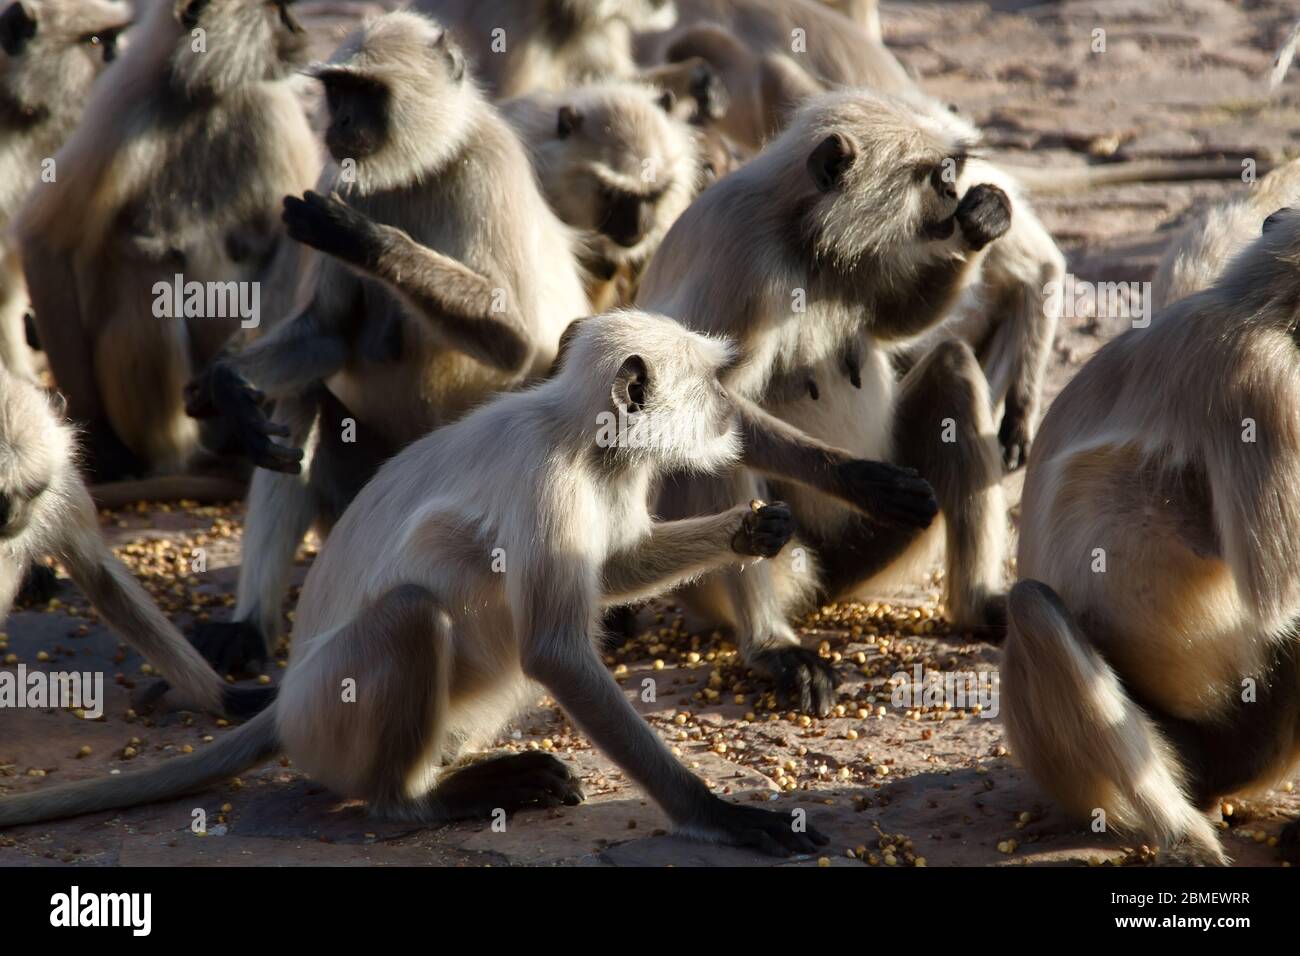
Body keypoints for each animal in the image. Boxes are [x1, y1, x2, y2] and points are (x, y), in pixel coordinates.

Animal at [0, 363, 266, 717]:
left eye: (33, 491)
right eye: (0, 499)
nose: (14, 518)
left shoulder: (61, 484)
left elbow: (100, 575)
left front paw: (228, 698)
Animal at [14, 0, 319, 483]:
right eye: (281, 15)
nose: (303, 31)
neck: (203, 99)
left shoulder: (272, 109)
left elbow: (297, 244)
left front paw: (228, 383)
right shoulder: (127, 107)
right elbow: (45, 237)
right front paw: (100, 440)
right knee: (148, 280)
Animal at [184, 11, 590, 674]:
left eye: (369, 94)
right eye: (337, 91)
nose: (340, 124)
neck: (419, 170)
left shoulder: (489, 167)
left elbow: (515, 344)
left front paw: (361, 238)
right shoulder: (335, 174)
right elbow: (327, 335)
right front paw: (223, 386)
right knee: (304, 398)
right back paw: (248, 628)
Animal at [633, 89, 1013, 715]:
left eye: (951, 171)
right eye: (935, 175)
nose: (953, 195)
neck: (801, 235)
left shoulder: (860, 252)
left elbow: (895, 321)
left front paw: (983, 221)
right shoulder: (744, 259)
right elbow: (711, 396)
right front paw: (862, 480)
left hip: (868, 556)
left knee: (955, 363)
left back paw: (979, 605)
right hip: (718, 576)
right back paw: (772, 646)